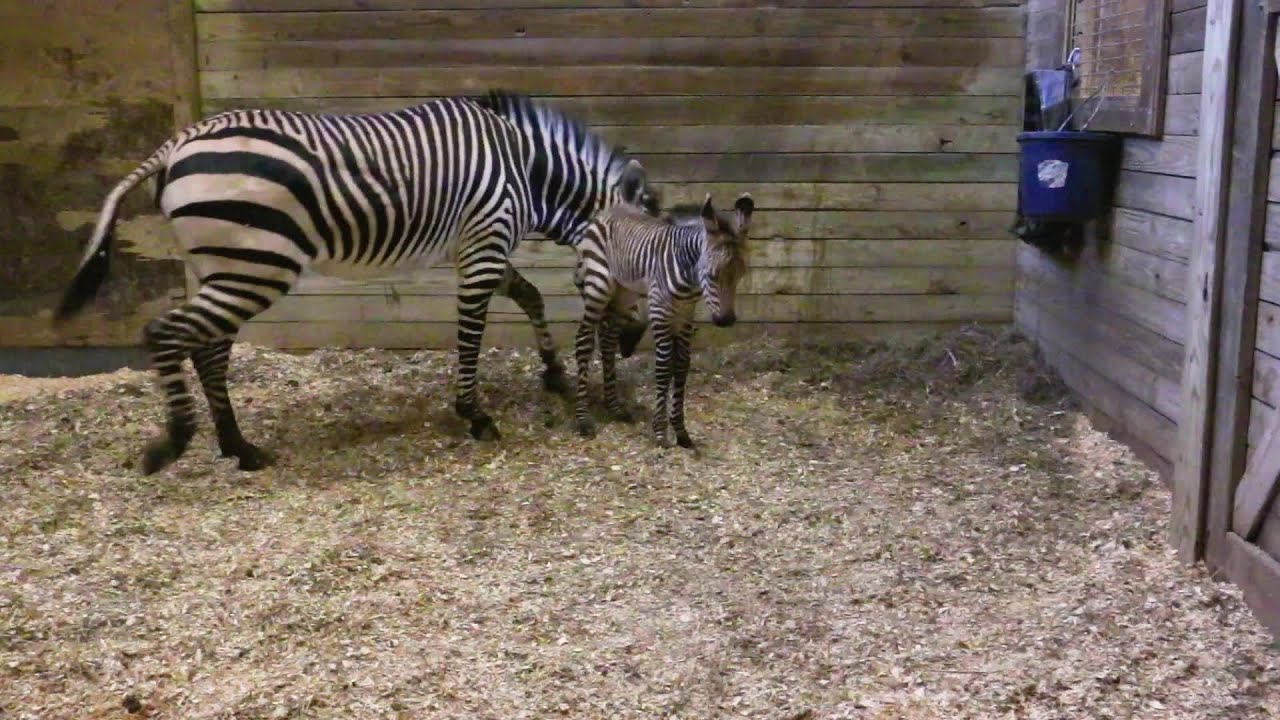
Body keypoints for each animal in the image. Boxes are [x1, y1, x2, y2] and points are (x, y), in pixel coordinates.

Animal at [51, 91, 658, 475]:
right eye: (640, 276)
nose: (632, 346)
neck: (527, 171)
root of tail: (177, 143)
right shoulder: (485, 243)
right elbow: (470, 334)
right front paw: (476, 414)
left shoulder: (483, 246)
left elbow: (530, 297)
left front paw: (553, 374)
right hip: (257, 266)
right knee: (167, 333)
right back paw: (176, 441)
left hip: (222, 265)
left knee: (209, 350)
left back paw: (239, 447)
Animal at [571, 193, 754, 448]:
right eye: (711, 275)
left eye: (740, 275)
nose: (726, 321)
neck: (690, 280)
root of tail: (608, 211)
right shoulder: (659, 312)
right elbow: (664, 365)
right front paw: (660, 431)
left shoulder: (685, 316)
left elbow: (682, 364)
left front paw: (681, 432)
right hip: (598, 284)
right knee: (584, 341)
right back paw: (583, 420)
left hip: (624, 292)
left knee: (607, 341)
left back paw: (614, 408)